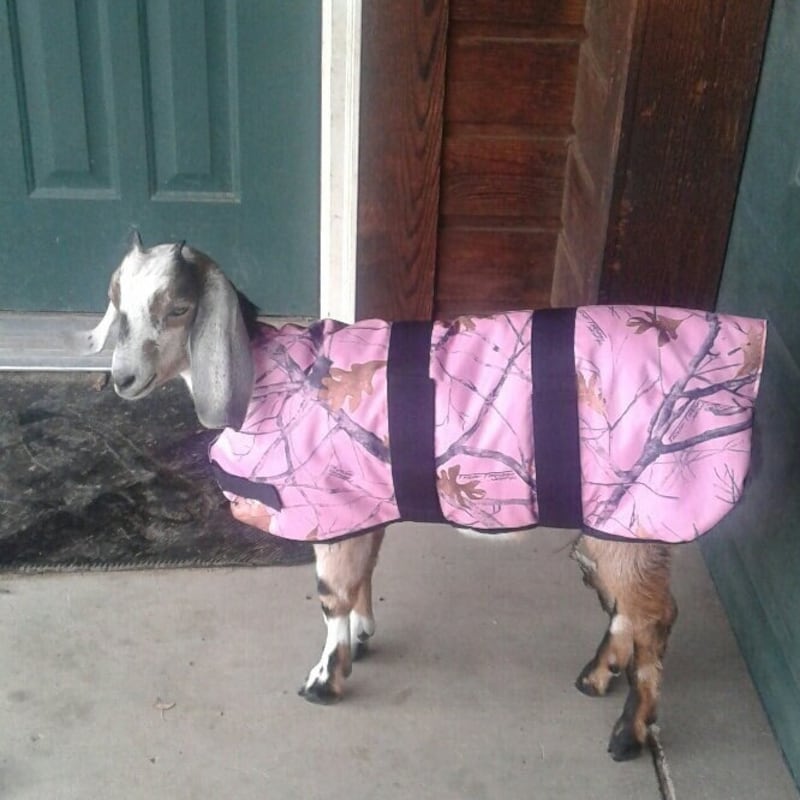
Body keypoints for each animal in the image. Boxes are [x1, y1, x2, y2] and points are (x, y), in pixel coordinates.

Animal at [83, 236, 765, 761]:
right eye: (118, 303)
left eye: (178, 308)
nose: (122, 379)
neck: (265, 372)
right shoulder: (361, 503)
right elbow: (363, 573)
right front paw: (362, 637)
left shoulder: (327, 504)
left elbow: (329, 595)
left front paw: (323, 681)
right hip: (621, 522)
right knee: (627, 606)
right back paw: (595, 679)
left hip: (638, 512)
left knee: (655, 618)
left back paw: (629, 735)